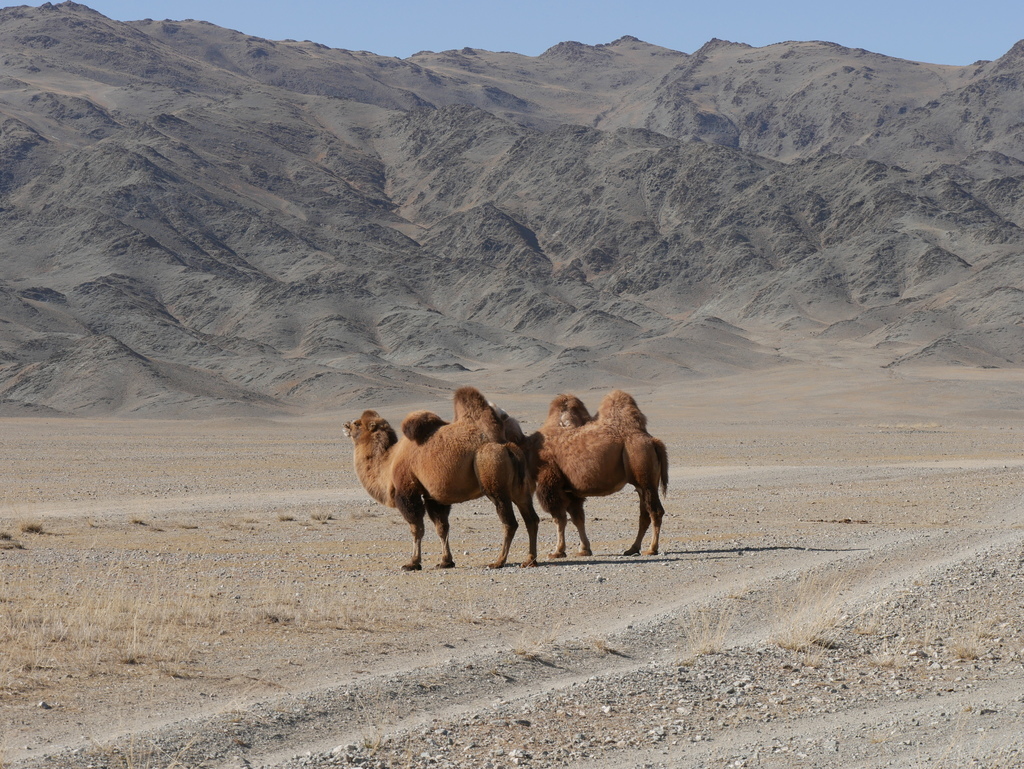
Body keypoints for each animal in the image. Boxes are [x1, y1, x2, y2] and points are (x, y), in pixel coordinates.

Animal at [343, 386, 539, 571]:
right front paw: (446, 561)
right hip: (520, 488)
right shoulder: (432, 496)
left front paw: (412, 563)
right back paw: (529, 560)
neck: (389, 460)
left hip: (493, 475)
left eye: (357, 423)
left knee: (509, 522)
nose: (345, 425)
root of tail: (505, 445)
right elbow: (442, 527)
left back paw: (498, 561)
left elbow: (416, 528)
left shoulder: (407, 491)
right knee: (531, 518)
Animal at [495, 390, 668, 559]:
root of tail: (653, 441)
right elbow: (577, 517)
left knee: (655, 511)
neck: (529, 448)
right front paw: (584, 549)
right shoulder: (569, 489)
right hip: (642, 482)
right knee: (644, 514)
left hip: (643, 469)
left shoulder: (550, 482)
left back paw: (651, 549)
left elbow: (559, 518)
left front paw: (557, 551)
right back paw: (633, 548)